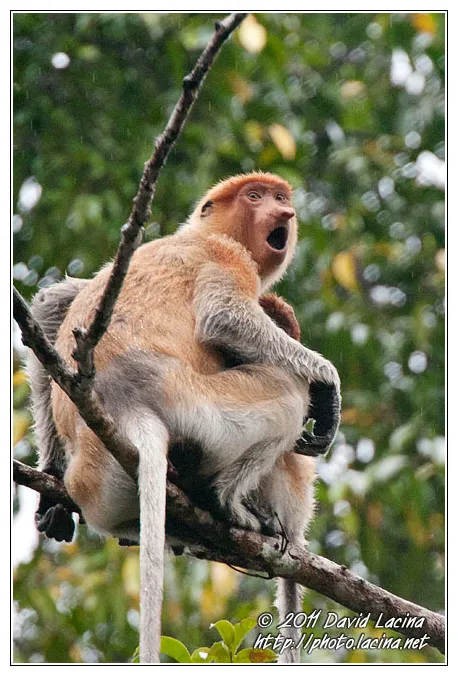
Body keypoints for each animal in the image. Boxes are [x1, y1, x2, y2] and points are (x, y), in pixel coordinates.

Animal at [26, 172, 340, 663]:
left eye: (280, 197)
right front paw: (327, 385)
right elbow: (224, 318)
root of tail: (127, 404)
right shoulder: (227, 256)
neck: (200, 231)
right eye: (255, 197)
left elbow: (53, 304)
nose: (286, 213)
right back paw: (226, 504)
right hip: (201, 406)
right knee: (287, 393)